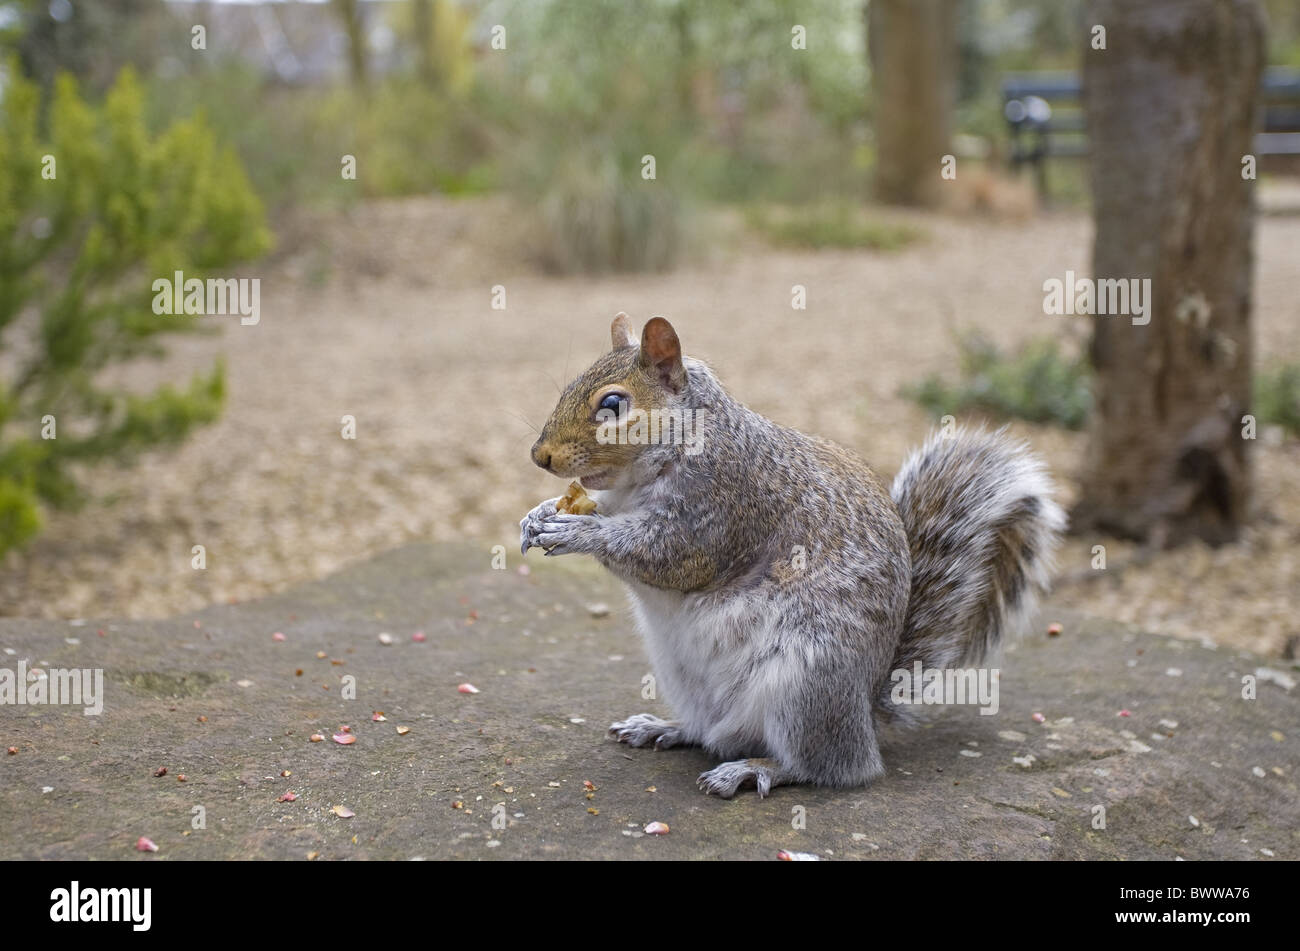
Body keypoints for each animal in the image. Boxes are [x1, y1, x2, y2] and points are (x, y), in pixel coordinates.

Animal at [521, 313, 1065, 798]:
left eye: (613, 404)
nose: (539, 456)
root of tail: (867, 708)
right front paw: (540, 513)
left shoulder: (723, 505)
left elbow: (668, 555)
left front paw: (578, 530)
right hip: (683, 675)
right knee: (712, 732)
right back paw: (666, 728)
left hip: (806, 682)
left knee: (834, 768)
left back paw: (755, 770)